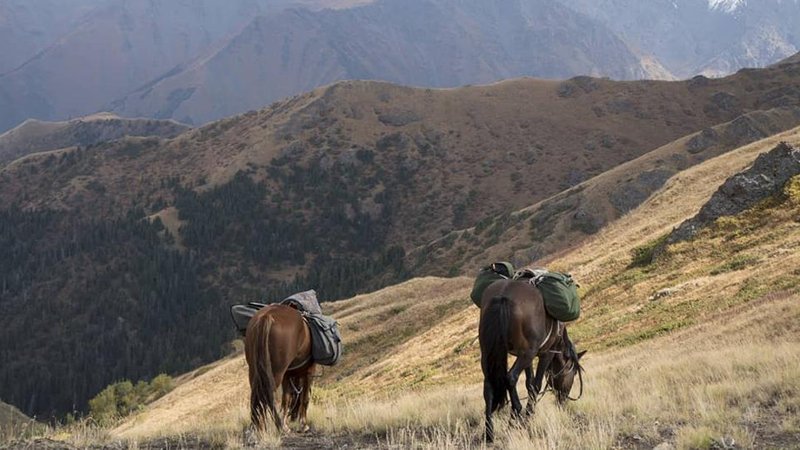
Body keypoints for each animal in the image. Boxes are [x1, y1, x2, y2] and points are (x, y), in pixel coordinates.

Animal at [244, 304, 316, 433]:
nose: (293, 417)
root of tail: (266, 316)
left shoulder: (287, 375)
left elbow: (286, 399)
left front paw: (285, 424)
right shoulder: (309, 371)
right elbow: (304, 397)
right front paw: (303, 424)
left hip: (254, 370)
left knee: (256, 395)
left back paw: (257, 427)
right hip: (276, 372)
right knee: (266, 393)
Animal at [479, 278, 585, 442]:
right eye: (573, 373)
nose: (563, 400)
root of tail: (503, 296)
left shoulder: (526, 358)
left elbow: (529, 383)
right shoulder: (545, 354)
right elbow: (536, 384)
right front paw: (528, 415)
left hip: (489, 354)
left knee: (489, 387)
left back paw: (490, 433)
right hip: (527, 353)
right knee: (511, 377)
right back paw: (517, 413)